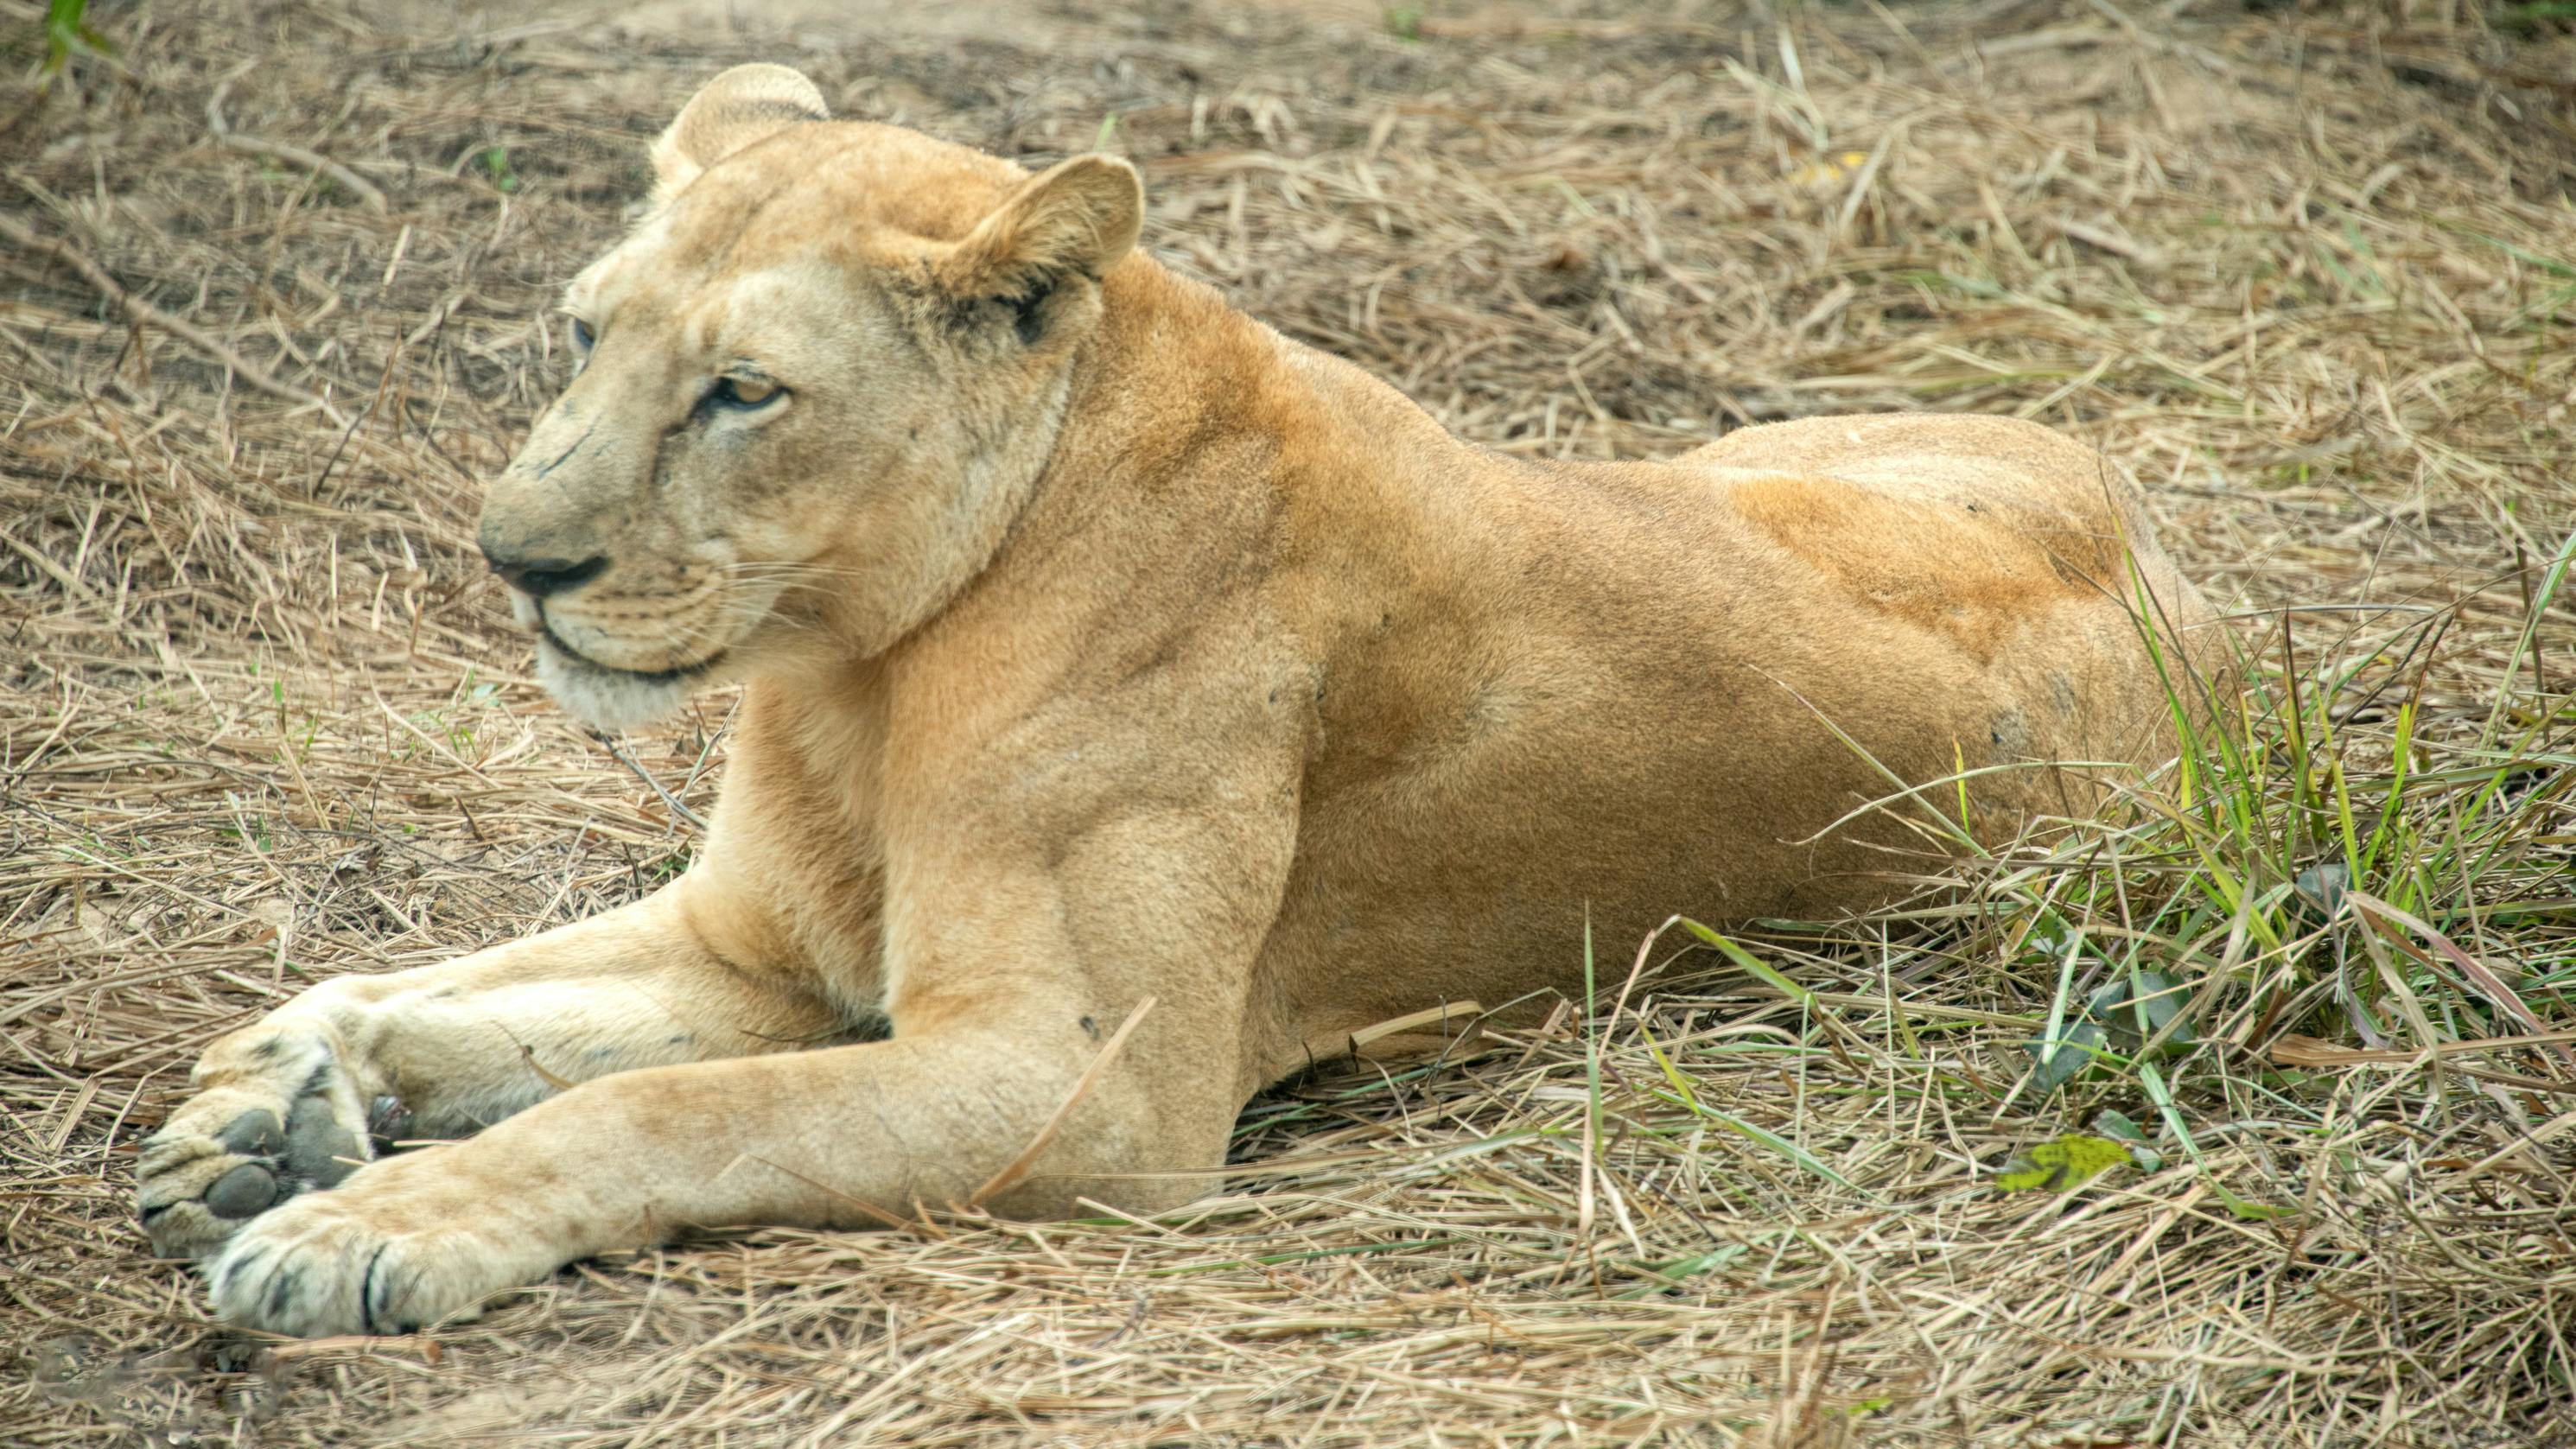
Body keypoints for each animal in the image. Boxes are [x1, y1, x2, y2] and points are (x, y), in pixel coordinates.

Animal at [136, 64, 2225, 1336]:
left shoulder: (1089, 1089)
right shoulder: (757, 944)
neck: (851, 674)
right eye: (584, 331)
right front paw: (264, 1102)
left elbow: (654, 1112)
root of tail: (2164, 541)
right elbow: (466, 992)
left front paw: (364, 1227)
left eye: (744, 392)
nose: (516, 558)